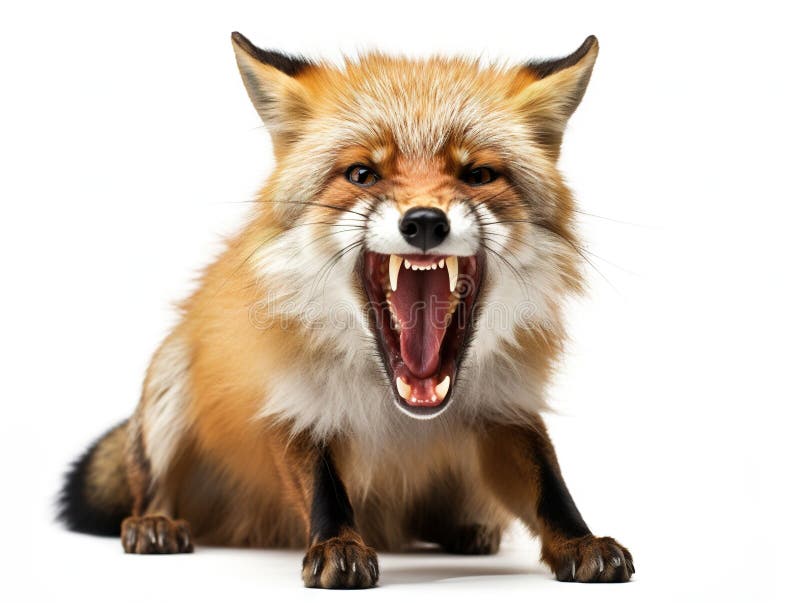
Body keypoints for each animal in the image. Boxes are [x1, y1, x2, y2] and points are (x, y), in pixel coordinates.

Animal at [58, 32, 634, 588]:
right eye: (362, 174)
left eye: (477, 174)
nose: (425, 222)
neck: (399, 411)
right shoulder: (295, 401)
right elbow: (324, 488)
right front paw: (337, 546)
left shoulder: (505, 405)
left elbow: (549, 488)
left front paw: (581, 541)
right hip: (168, 383)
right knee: (150, 486)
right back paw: (152, 523)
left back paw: (466, 529)